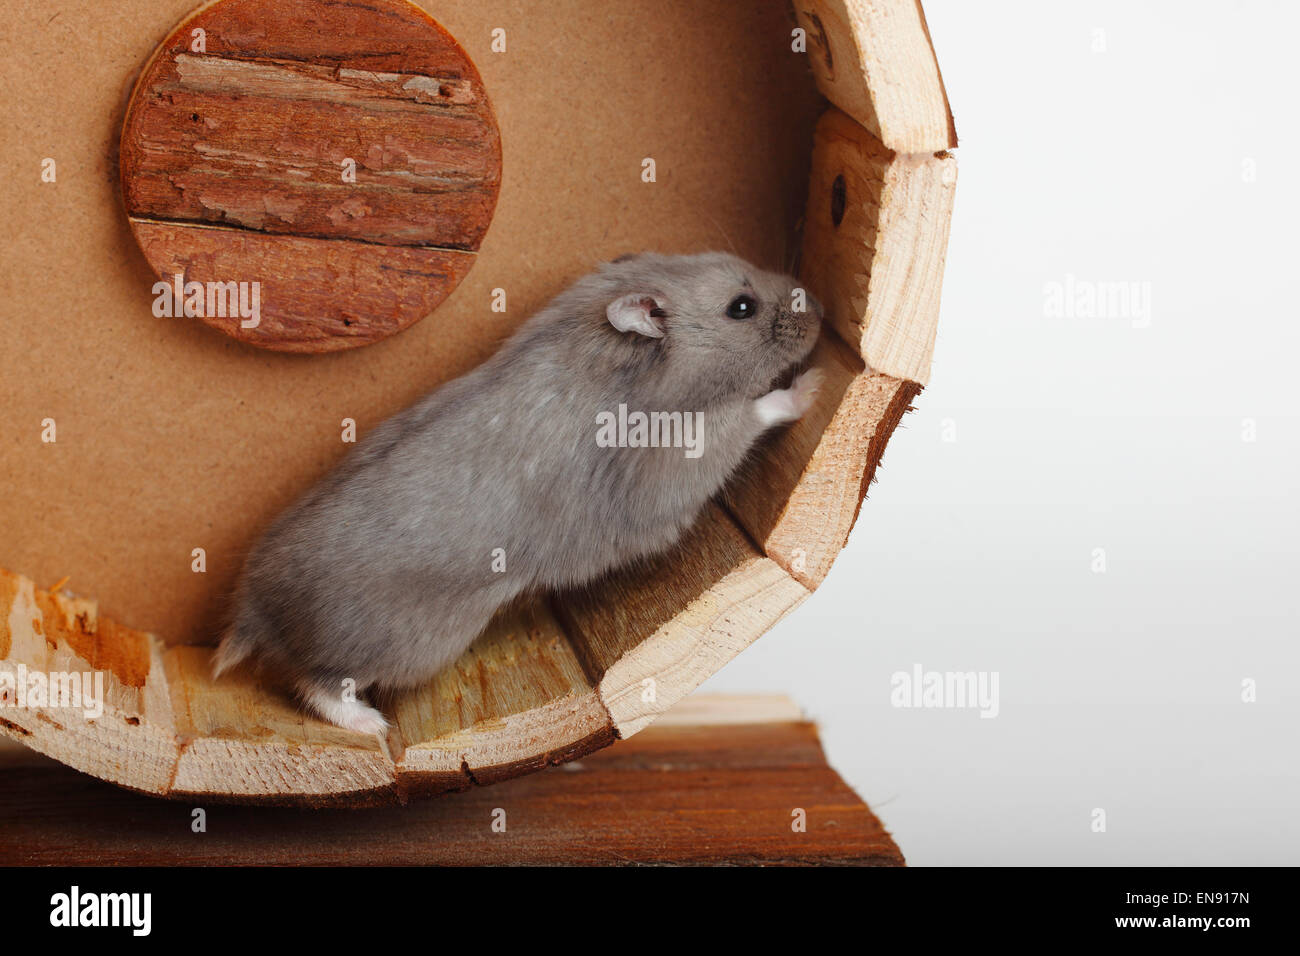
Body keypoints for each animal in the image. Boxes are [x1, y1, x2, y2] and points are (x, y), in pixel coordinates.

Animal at [214, 251, 824, 733]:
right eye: (741, 307)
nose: (820, 308)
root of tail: (254, 612)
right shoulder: (677, 459)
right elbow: (752, 414)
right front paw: (810, 389)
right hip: (407, 645)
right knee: (314, 683)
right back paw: (371, 724)